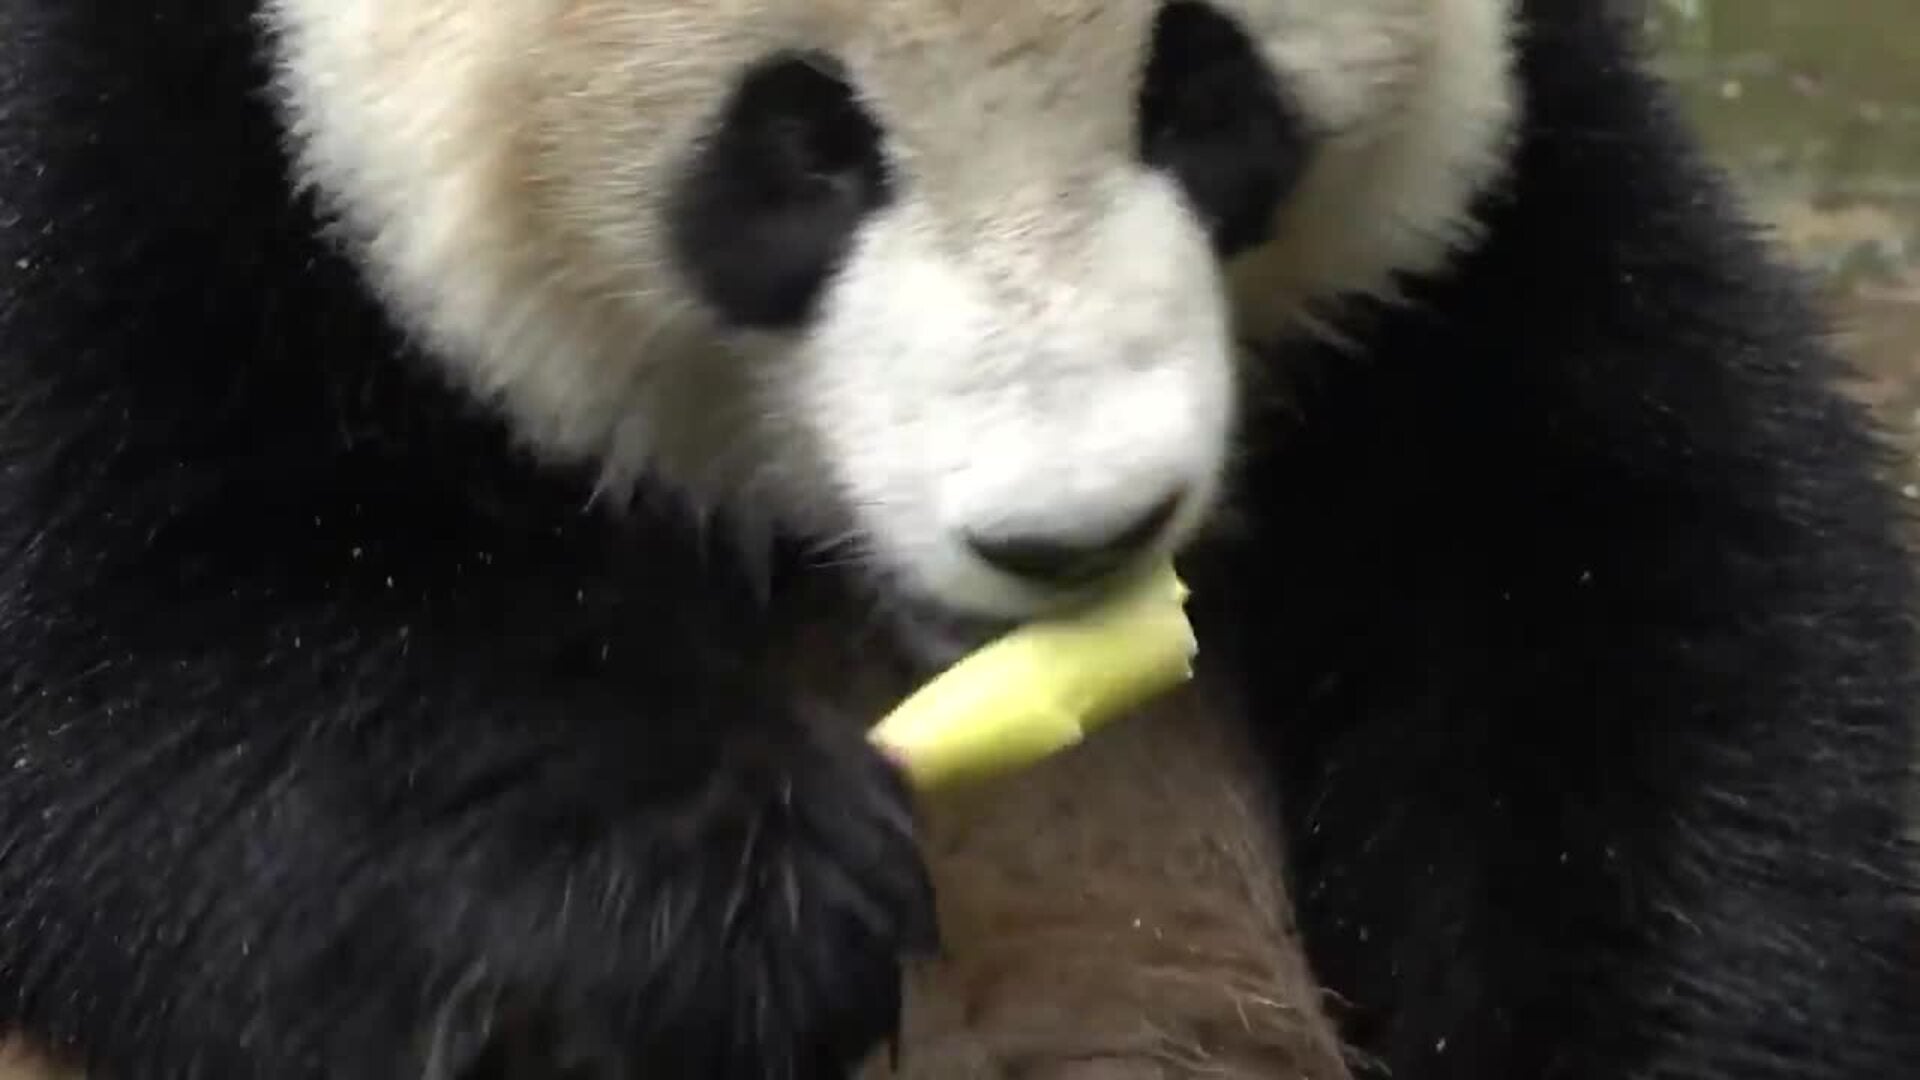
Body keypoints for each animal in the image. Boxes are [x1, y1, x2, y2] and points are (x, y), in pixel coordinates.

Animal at [1, 0, 1916, 1077]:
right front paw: (707, 898)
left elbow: (1657, 593)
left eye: (1205, 93)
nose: (1079, 533)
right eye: (799, 151)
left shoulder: (1486, 229)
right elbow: (123, 651)